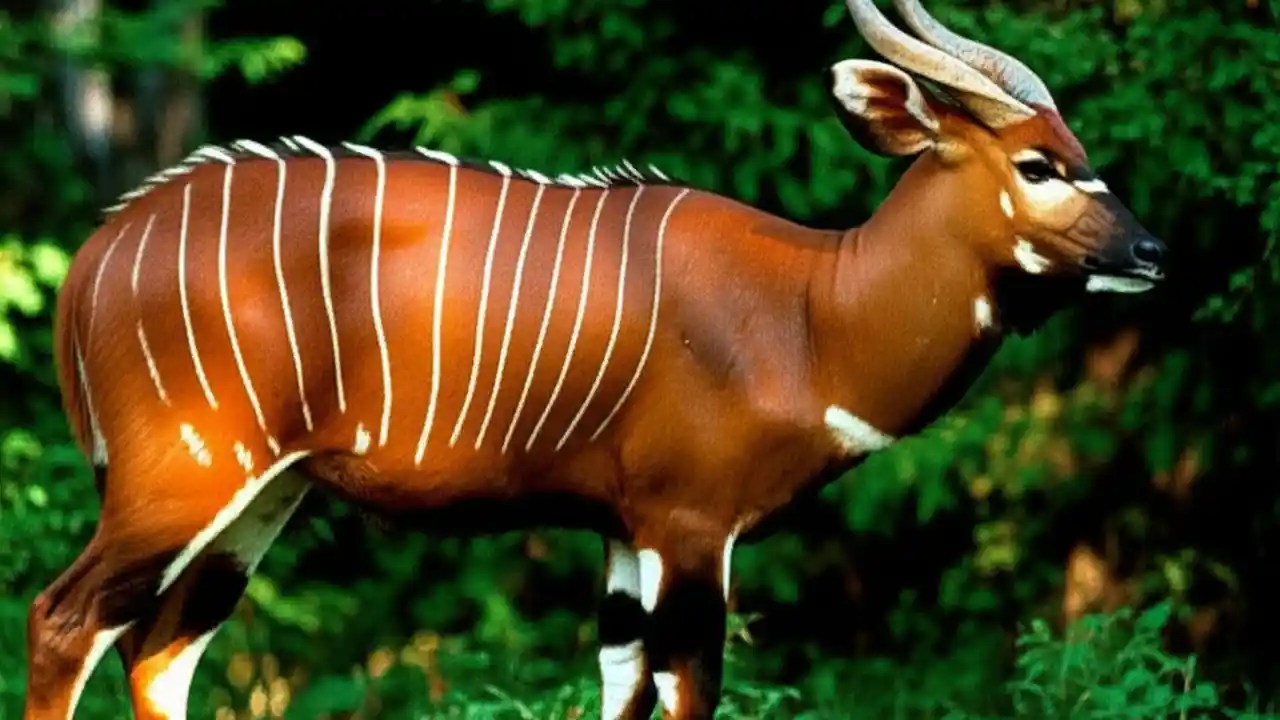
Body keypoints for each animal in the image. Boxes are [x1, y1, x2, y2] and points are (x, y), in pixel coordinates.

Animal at [25, 0, 1167, 718]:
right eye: (1040, 164)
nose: (1152, 253)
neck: (811, 313)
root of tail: (90, 261)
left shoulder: (625, 532)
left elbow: (621, 680)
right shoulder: (692, 523)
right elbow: (689, 686)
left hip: (263, 494)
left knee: (160, 650)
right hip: (179, 474)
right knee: (65, 621)